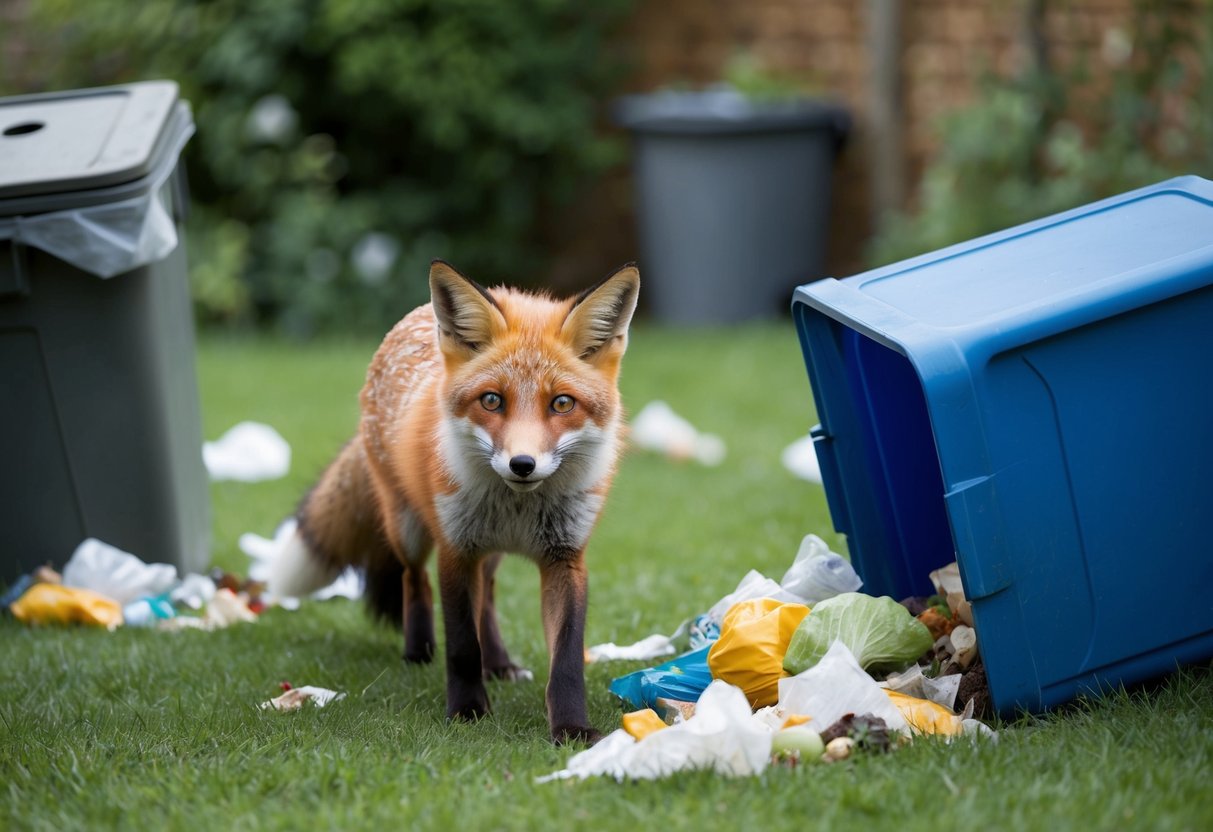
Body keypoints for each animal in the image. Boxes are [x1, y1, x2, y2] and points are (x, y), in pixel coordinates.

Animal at [268, 259, 640, 744]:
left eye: (562, 403)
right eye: (492, 400)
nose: (523, 464)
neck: (518, 508)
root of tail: (415, 315)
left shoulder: (566, 558)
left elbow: (566, 659)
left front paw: (572, 728)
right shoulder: (456, 549)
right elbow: (462, 644)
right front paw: (467, 711)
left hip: (490, 552)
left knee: (489, 598)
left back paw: (498, 663)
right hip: (408, 528)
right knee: (414, 579)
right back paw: (419, 651)